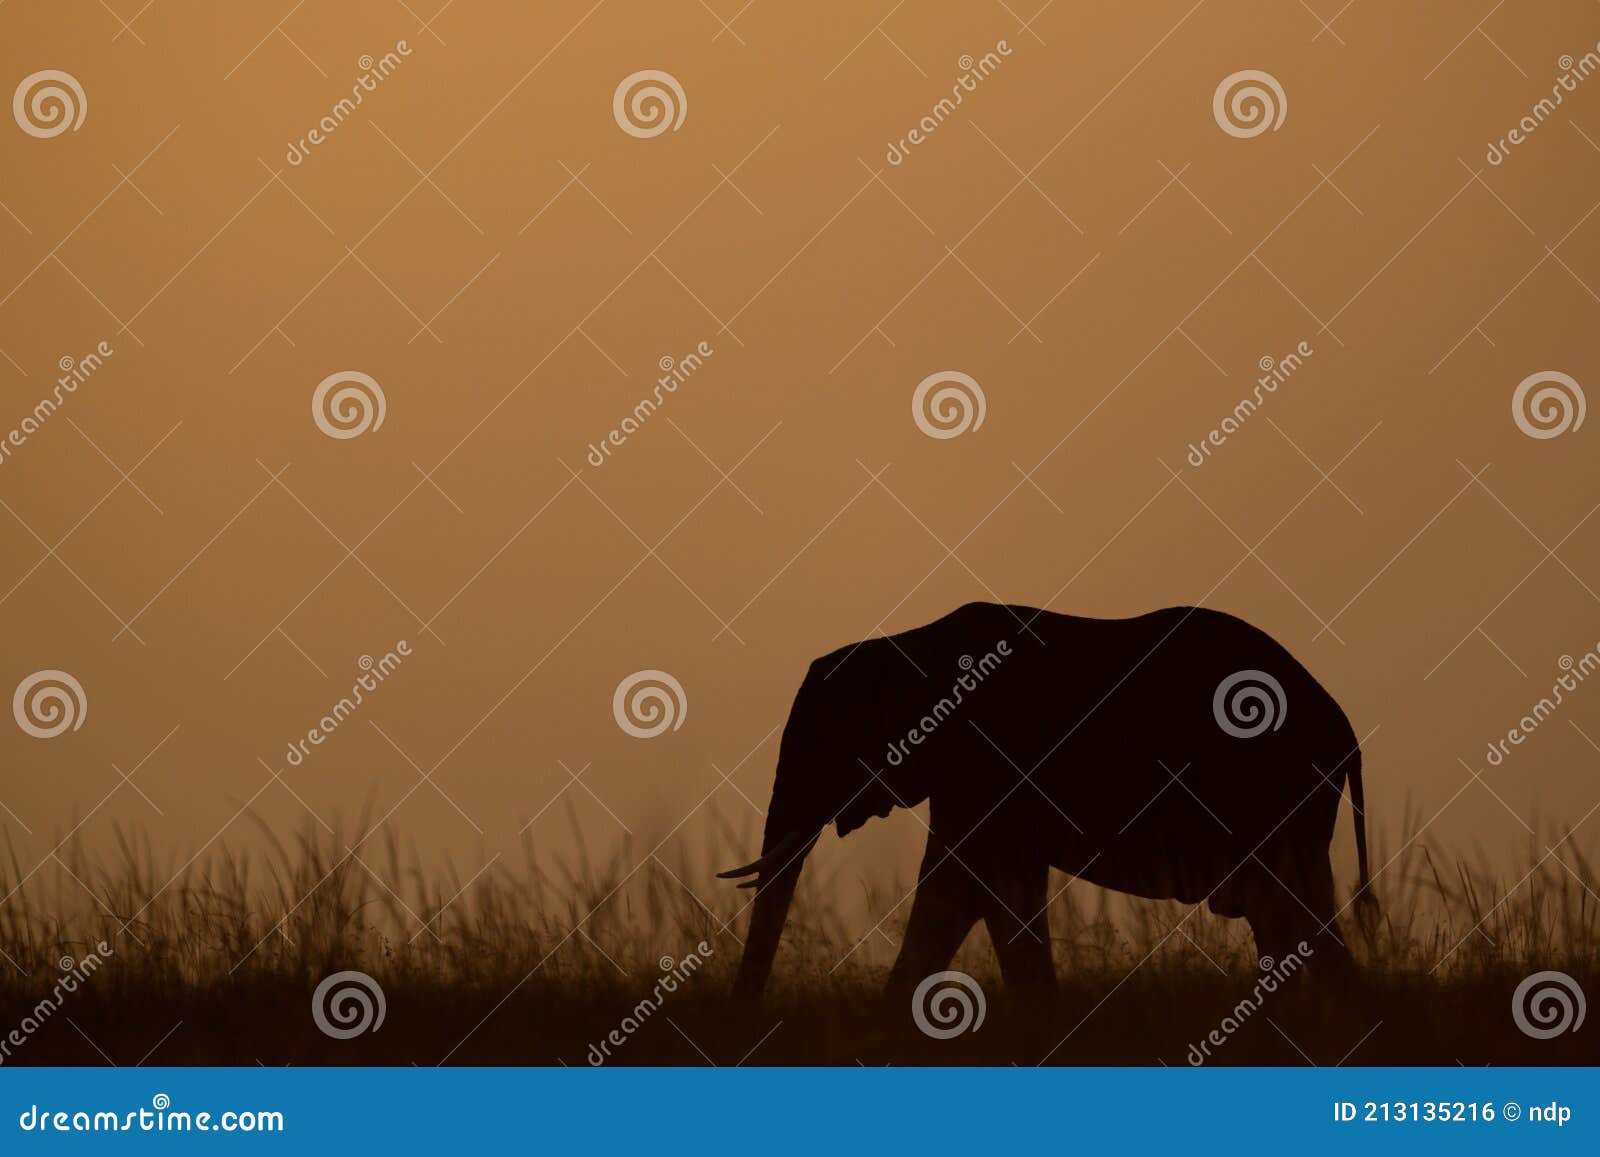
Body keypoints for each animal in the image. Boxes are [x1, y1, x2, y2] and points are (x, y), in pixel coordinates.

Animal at [720, 601, 1373, 1004]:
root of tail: (1347, 731)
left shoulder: (986, 761)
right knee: (1284, 917)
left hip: (1275, 790)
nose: (746, 1018)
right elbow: (968, 892)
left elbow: (970, 887)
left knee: (1288, 910)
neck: (909, 643)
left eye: (823, 745)